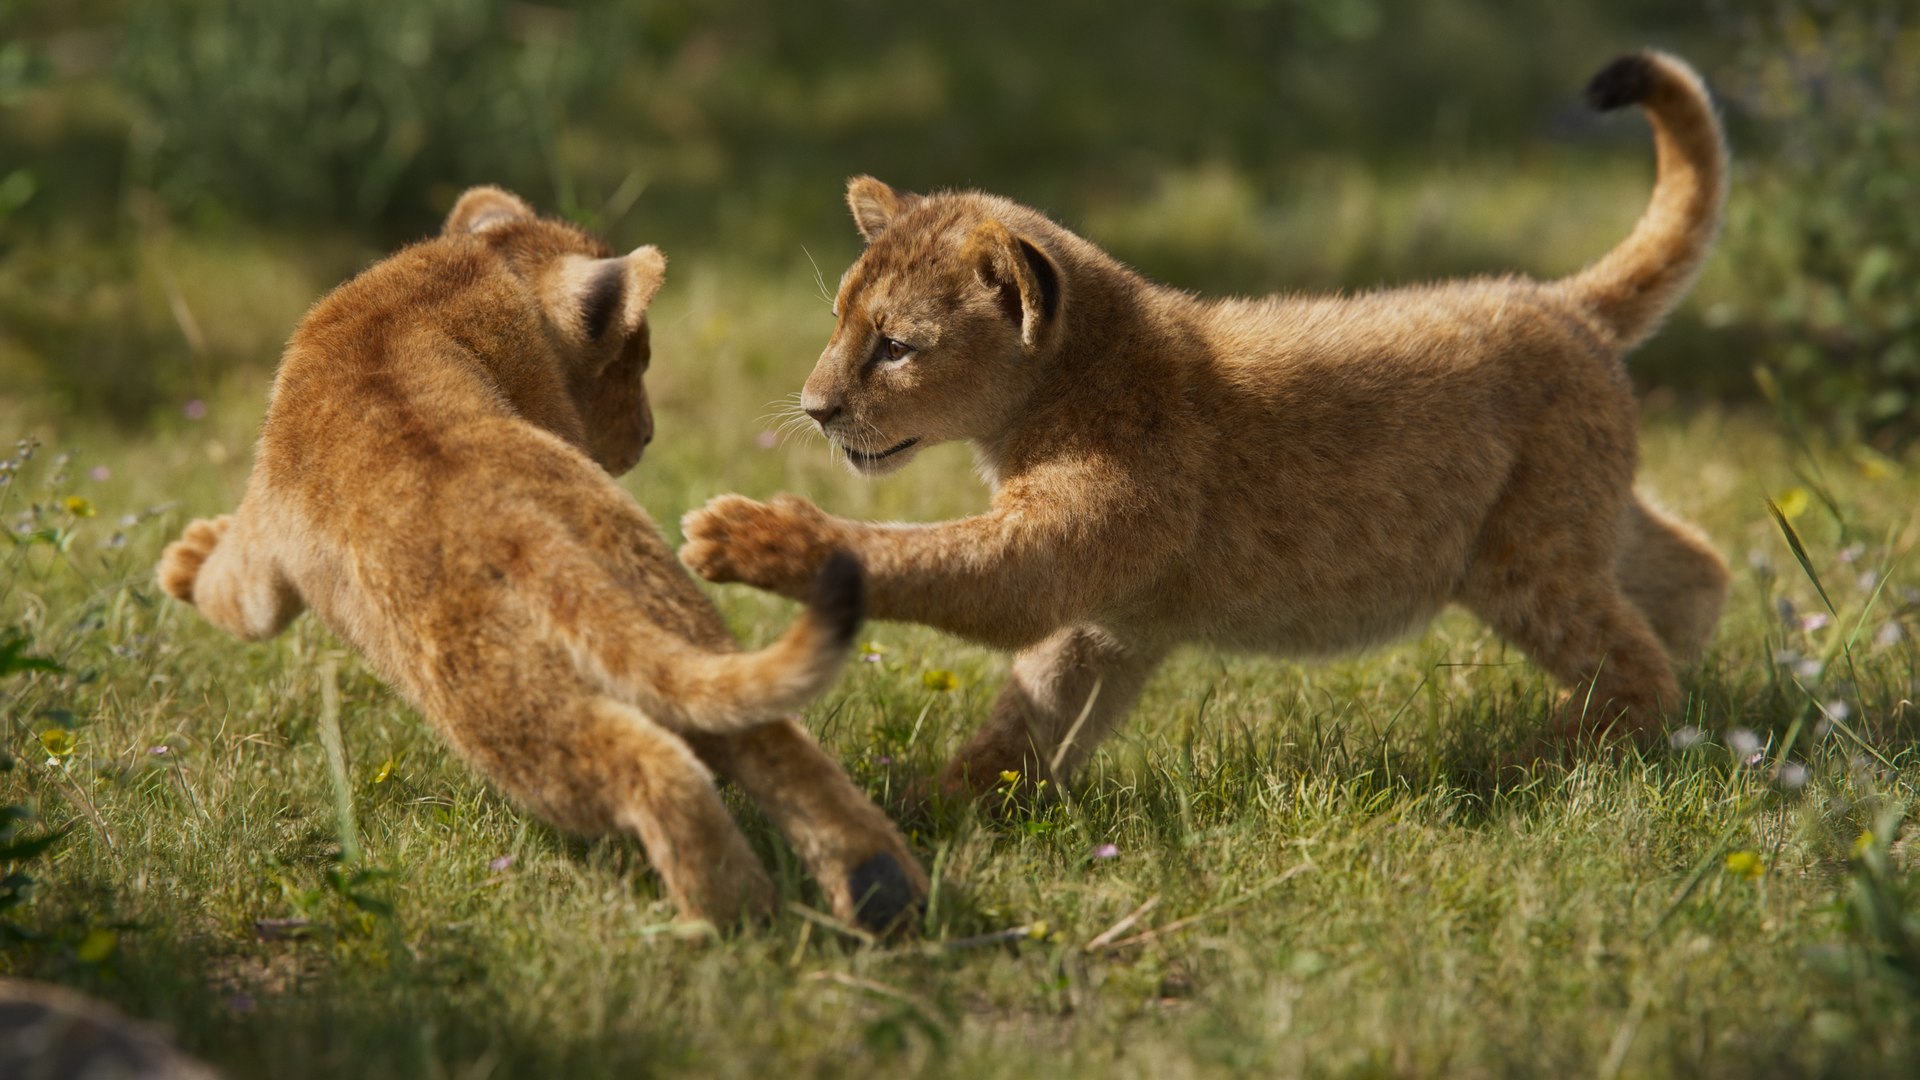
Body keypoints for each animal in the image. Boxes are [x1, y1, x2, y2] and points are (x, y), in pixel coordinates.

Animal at [158, 187, 925, 928]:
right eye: (635, 359)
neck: (469, 271)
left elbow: (238, 595)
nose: (647, 435)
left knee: (656, 769)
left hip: (508, 716)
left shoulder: (265, 531)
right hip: (675, 618)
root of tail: (525, 530)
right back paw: (880, 892)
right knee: (768, 741)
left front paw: (186, 559)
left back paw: (731, 922)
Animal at [679, 52, 1733, 797]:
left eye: (895, 345)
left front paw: (747, 534)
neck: (1055, 387)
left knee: (1630, 666)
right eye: (837, 322)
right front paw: (945, 808)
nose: (815, 409)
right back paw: (1698, 705)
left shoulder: (1057, 552)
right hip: (1572, 520)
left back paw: (1525, 763)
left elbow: (910, 555)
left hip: (1524, 561)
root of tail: (1563, 300)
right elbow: (1024, 721)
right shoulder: (1109, 620)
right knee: (1695, 572)